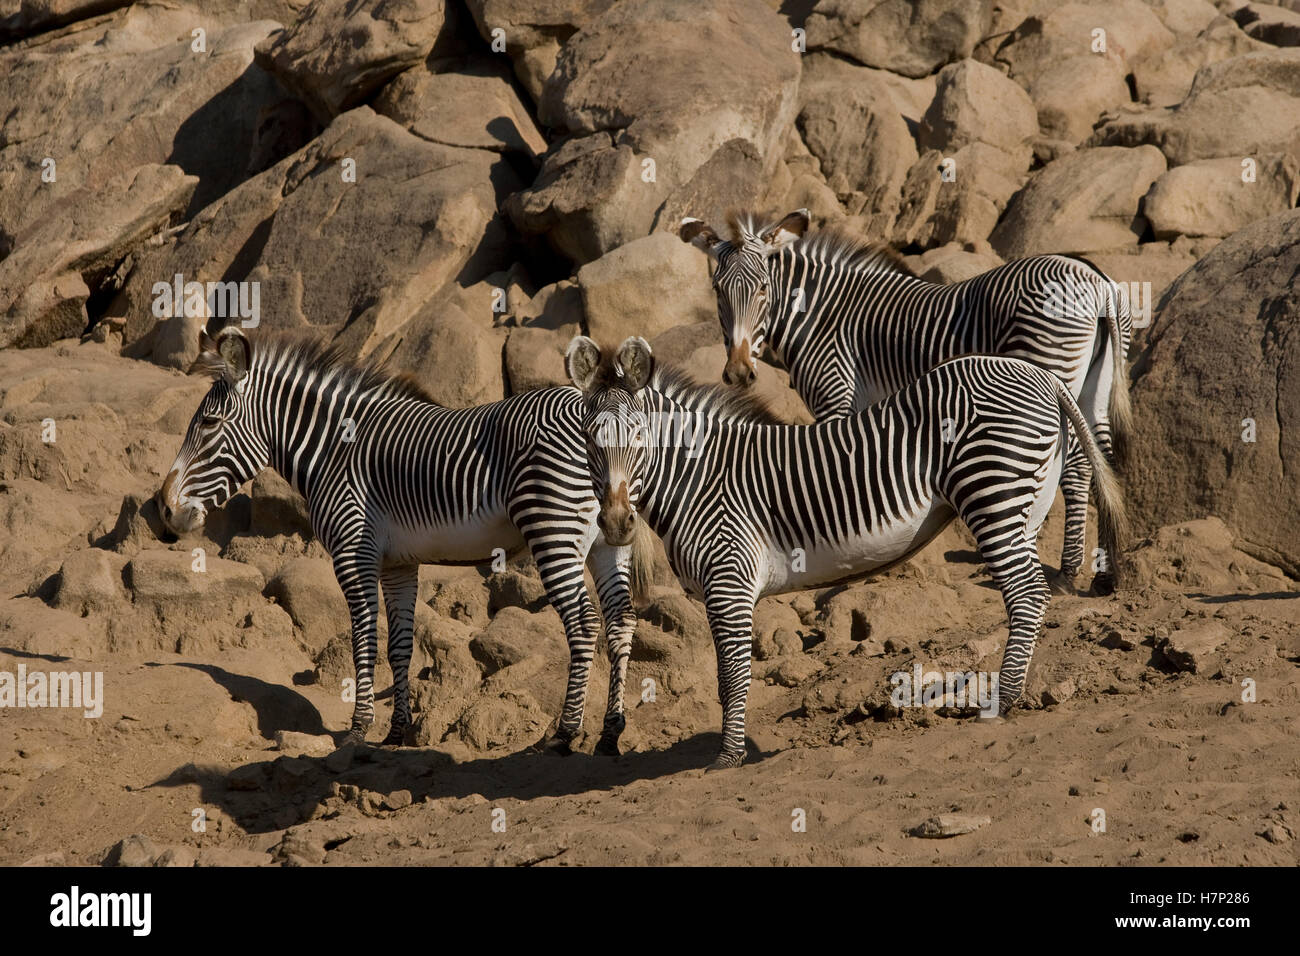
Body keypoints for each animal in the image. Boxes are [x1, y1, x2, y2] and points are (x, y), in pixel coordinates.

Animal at [159, 325, 654, 755]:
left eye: (208, 423)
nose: (164, 510)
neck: (334, 450)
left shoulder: (353, 552)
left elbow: (364, 640)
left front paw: (358, 730)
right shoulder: (398, 564)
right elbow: (399, 646)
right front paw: (398, 732)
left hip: (553, 529)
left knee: (584, 624)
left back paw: (564, 734)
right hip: (608, 538)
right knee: (621, 620)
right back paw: (610, 733)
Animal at [565, 334, 1126, 769]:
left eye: (640, 435)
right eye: (587, 441)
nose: (614, 523)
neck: (696, 478)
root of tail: (1040, 375)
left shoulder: (729, 580)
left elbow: (733, 673)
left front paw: (728, 756)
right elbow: (728, 676)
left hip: (993, 491)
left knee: (1027, 595)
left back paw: (1001, 700)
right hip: (1027, 500)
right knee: (1031, 592)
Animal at [679, 209, 1133, 593]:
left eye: (763, 289)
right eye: (718, 291)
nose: (739, 373)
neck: (819, 314)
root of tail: (1093, 279)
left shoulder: (834, 392)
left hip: (1051, 367)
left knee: (1072, 467)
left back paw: (1062, 569)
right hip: (1094, 382)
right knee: (1100, 461)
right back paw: (1102, 574)